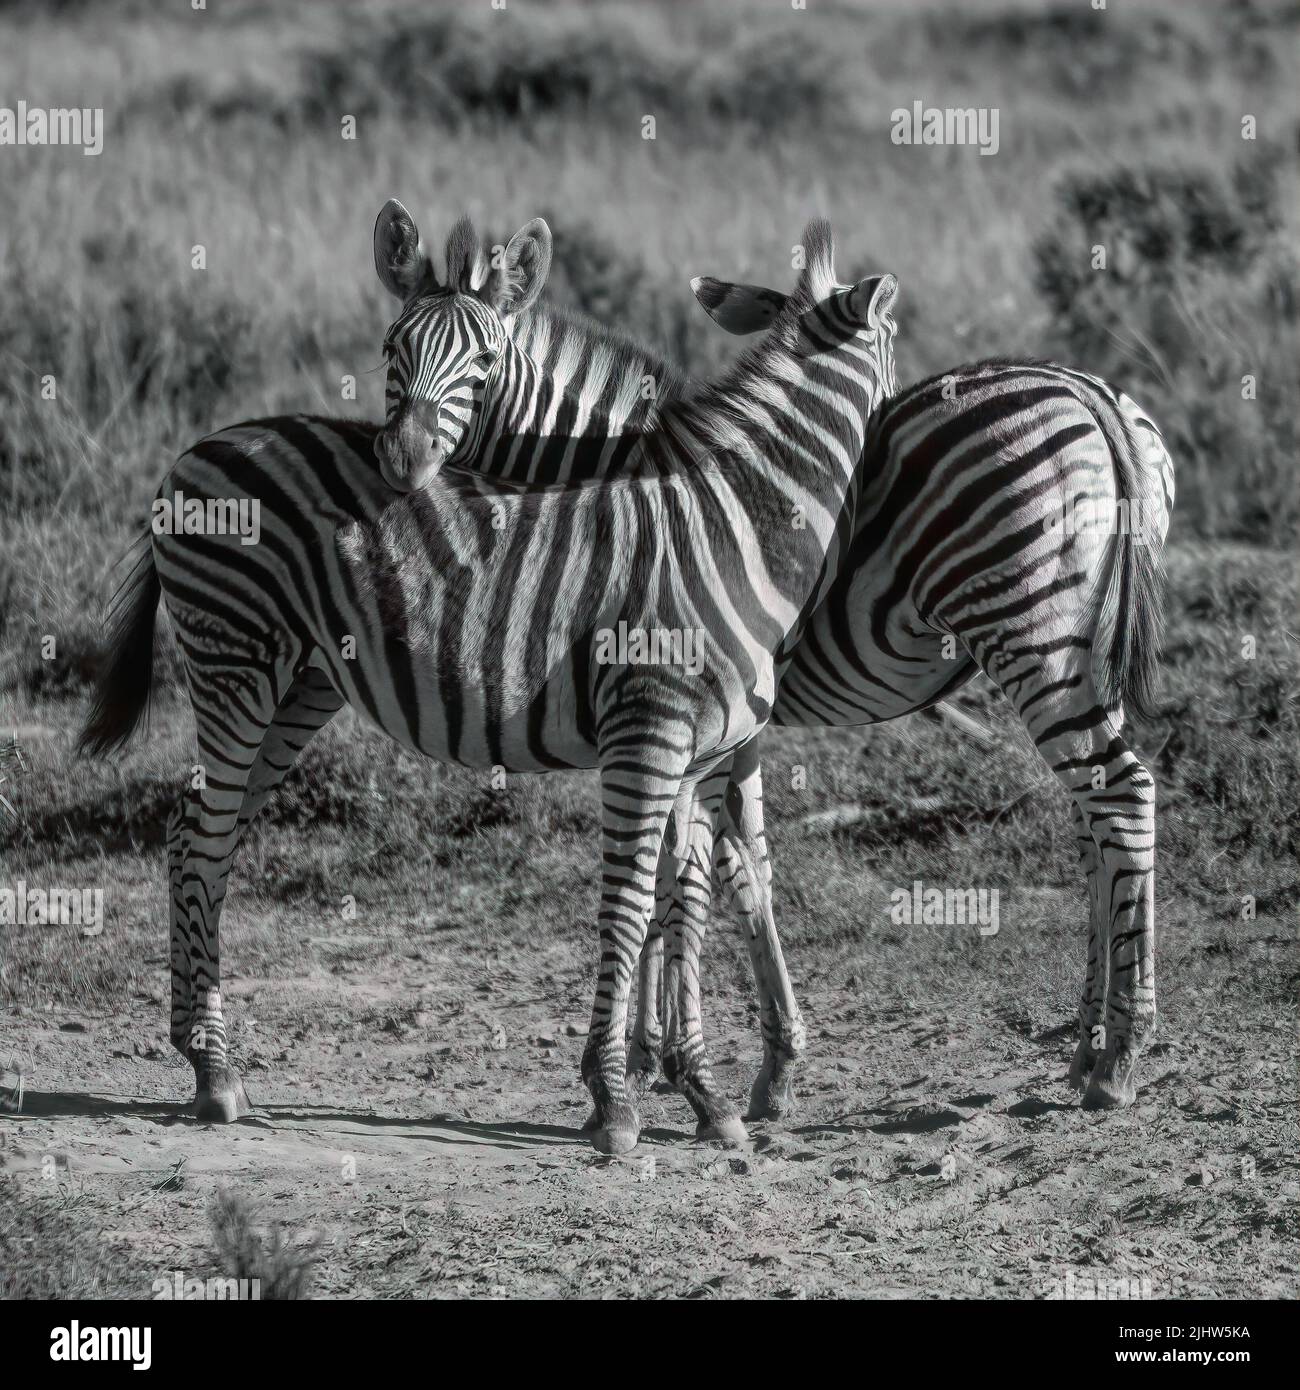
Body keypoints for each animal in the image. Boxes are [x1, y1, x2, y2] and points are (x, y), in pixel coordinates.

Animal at [78, 210, 899, 1155]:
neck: (733, 520)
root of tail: (196, 448)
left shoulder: (701, 752)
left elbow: (689, 900)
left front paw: (701, 1088)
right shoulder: (650, 735)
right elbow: (633, 901)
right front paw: (617, 1095)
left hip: (297, 686)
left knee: (196, 837)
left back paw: (202, 1056)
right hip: (234, 660)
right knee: (204, 836)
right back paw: (215, 1073)